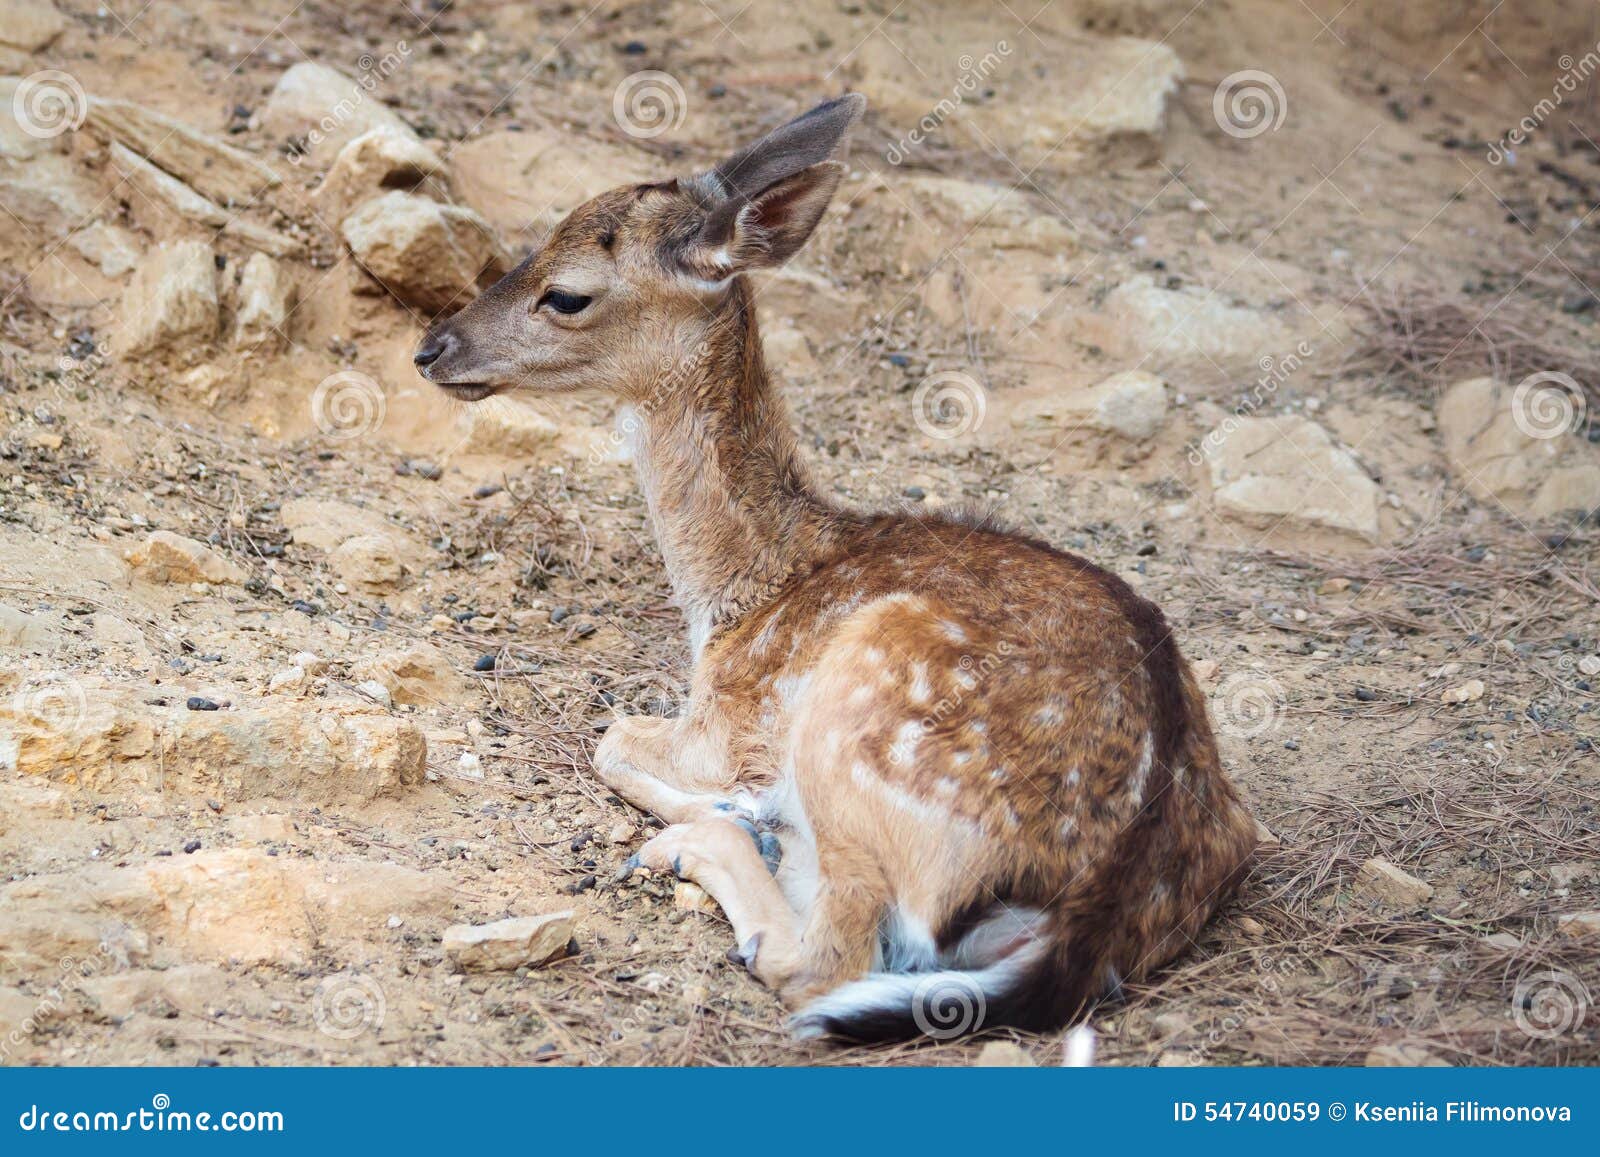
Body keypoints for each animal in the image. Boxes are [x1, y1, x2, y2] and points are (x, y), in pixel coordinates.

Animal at [413, 94, 1258, 1042]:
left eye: (566, 293)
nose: (433, 348)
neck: (741, 589)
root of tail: (1090, 917)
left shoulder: (727, 719)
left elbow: (614, 735)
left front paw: (734, 810)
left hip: (852, 723)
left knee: (823, 960)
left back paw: (717, 840)